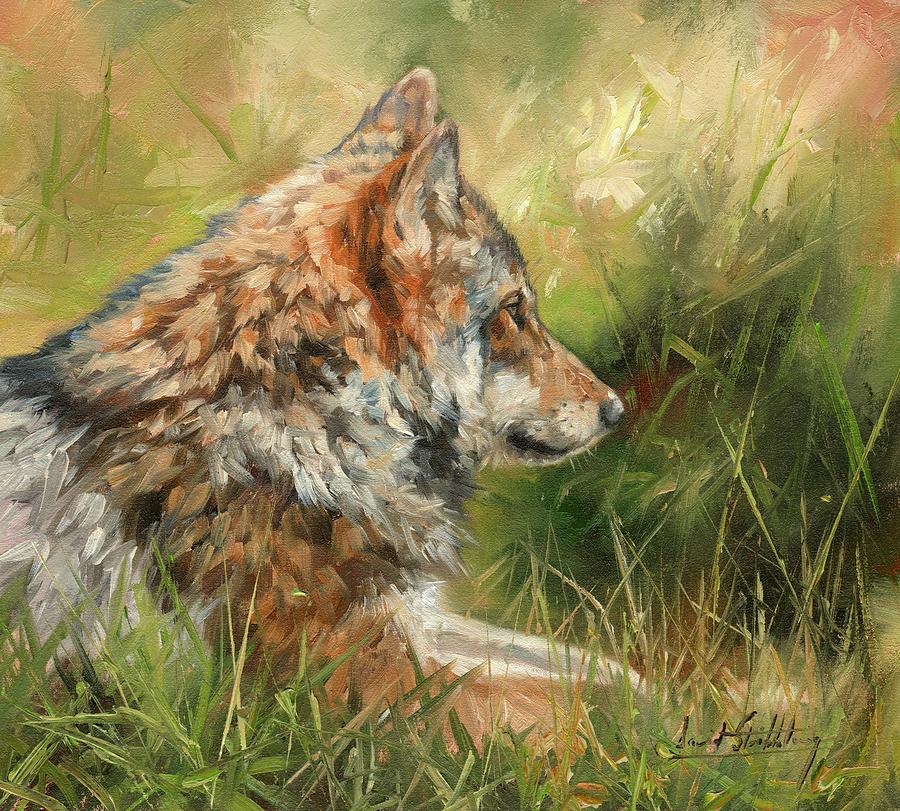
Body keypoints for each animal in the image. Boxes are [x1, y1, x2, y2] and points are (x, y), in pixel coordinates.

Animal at [0, 69, 626, 738]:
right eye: (514, 311)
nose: (617, 409)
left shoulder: (414, 622)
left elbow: (597, 672)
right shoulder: (357, 686)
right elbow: (574, 707)